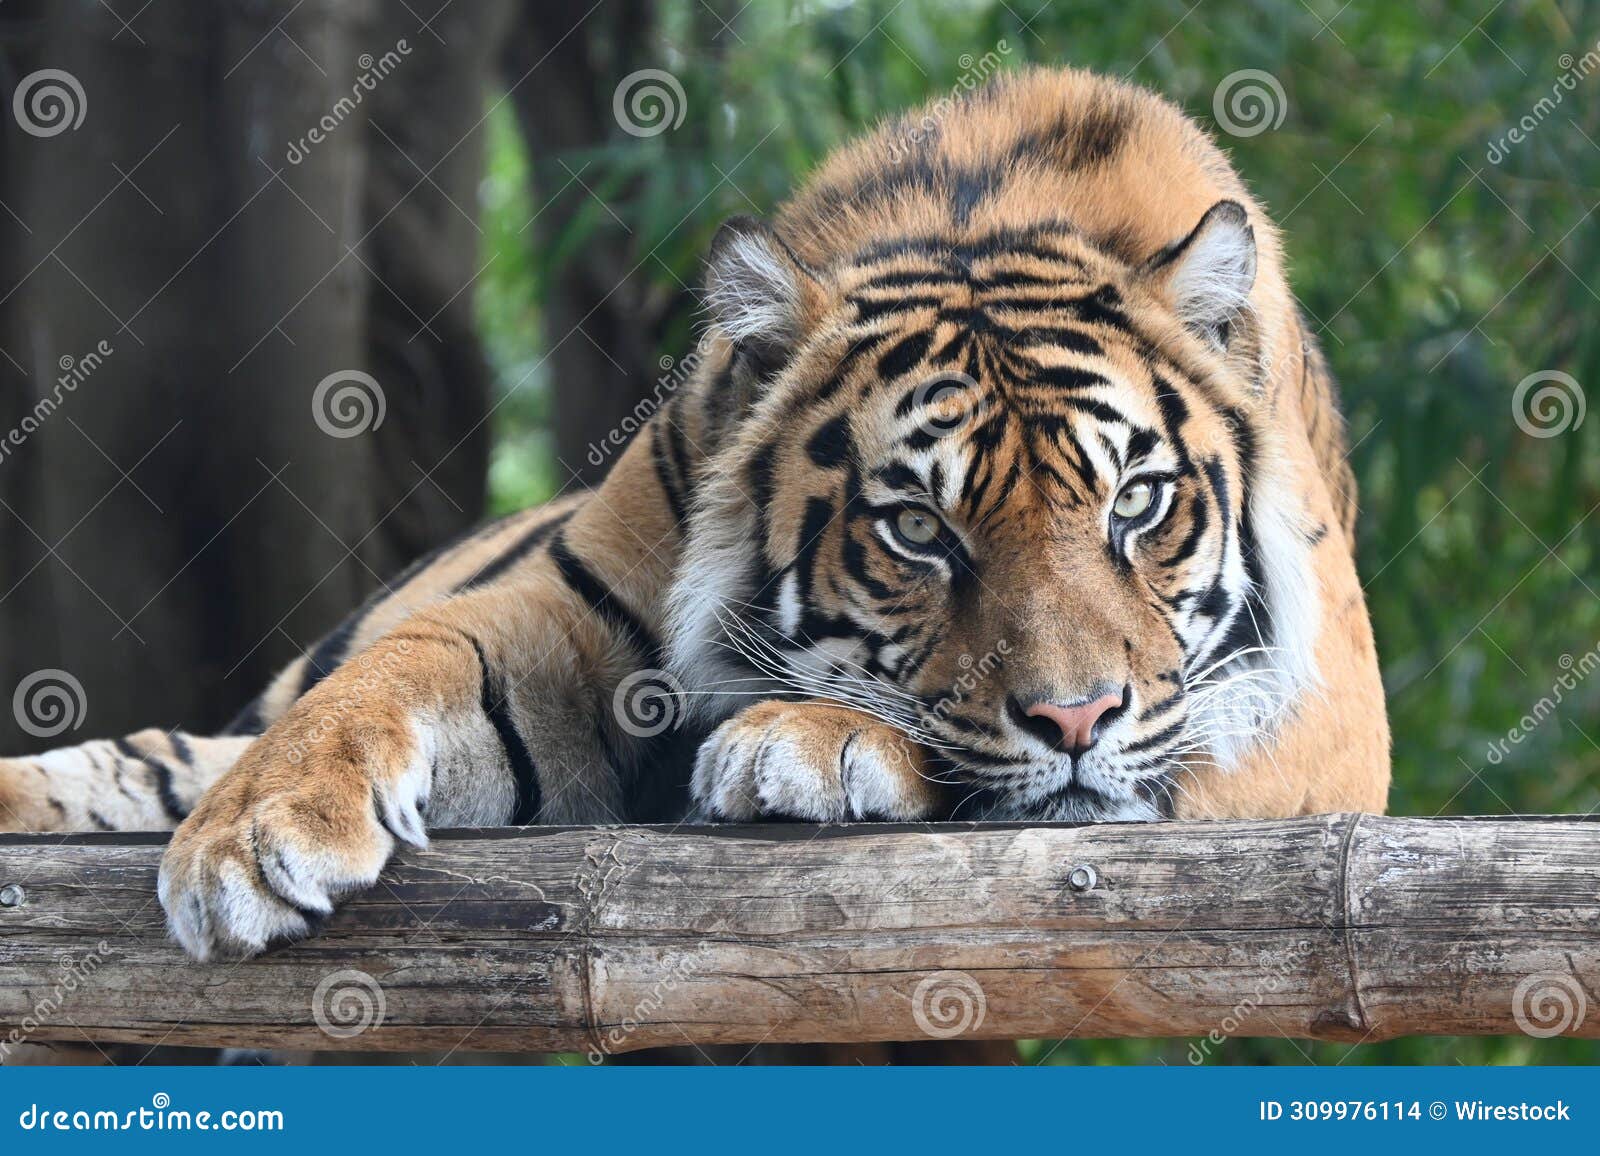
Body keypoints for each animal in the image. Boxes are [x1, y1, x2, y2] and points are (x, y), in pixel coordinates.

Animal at [0, 67, 1389, 962]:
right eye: (918, 530)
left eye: (1137, 505)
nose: (1076, 719)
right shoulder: (564, 605)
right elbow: (404, 665)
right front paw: (255, 838)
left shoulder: (1326, 725)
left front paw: (810, 740)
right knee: (174, 750)